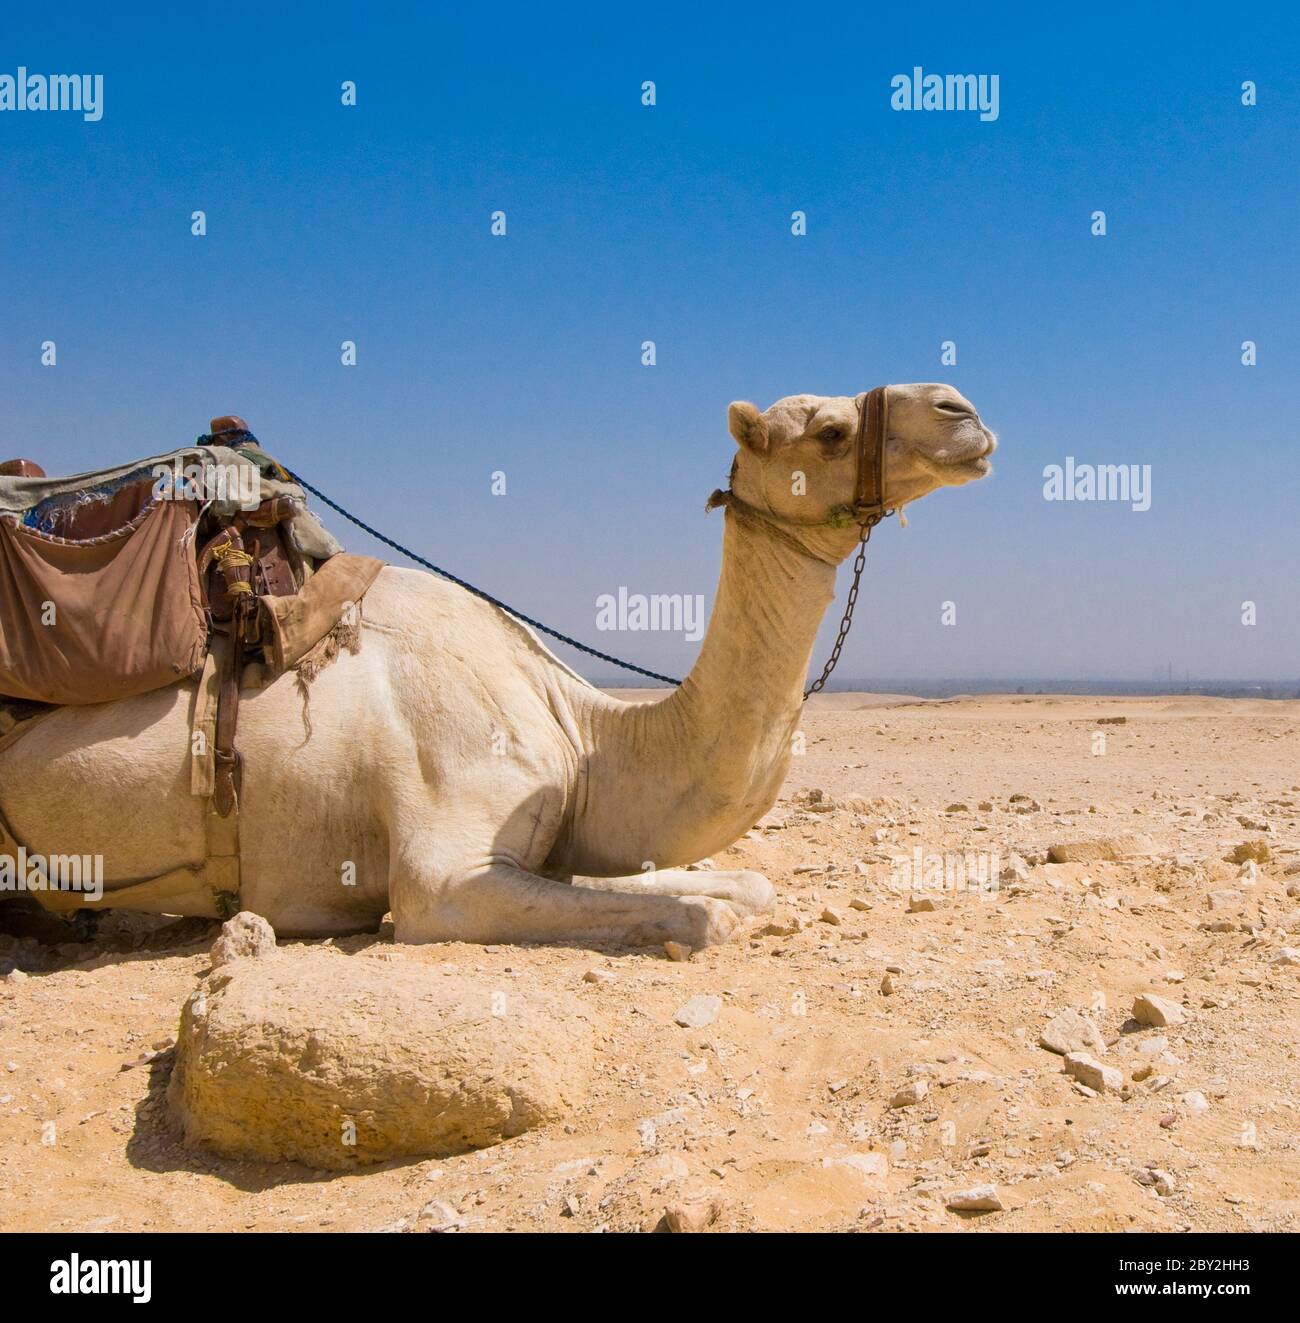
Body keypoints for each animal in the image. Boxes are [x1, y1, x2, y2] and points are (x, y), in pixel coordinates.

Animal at [0, 384, 995, 949]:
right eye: (828, 431)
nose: (963, 411)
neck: (583, 728)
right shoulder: (441, 874)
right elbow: (701, 916)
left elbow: (739, 881)